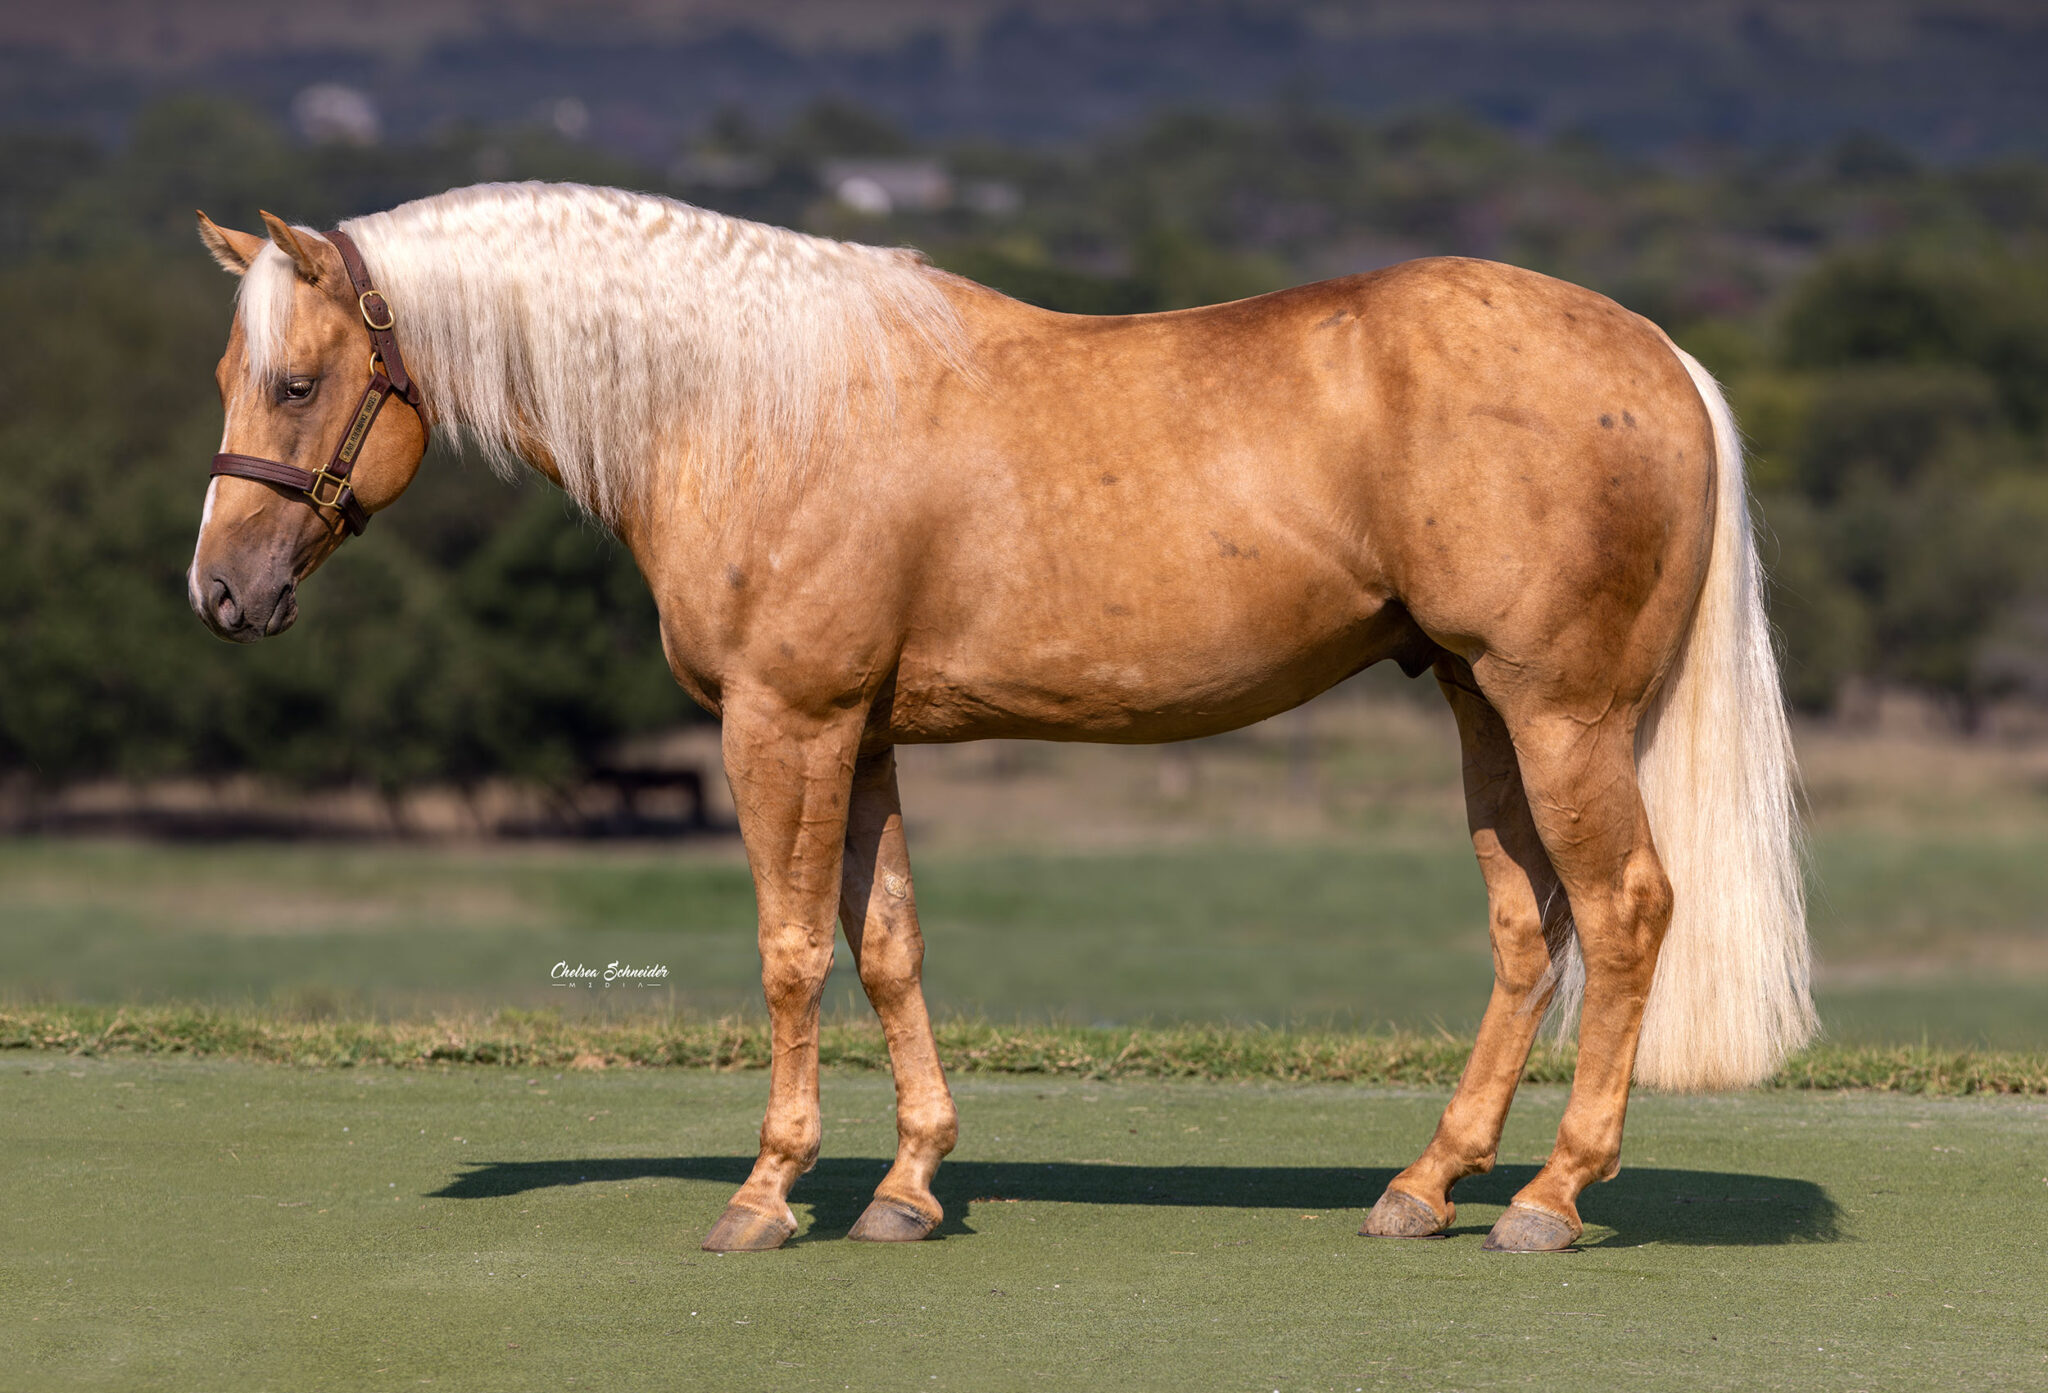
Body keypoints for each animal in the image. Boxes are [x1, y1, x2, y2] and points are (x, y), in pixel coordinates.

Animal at [188, 182, 1813, 1254]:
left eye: (298, 379)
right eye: (229, 373)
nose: (220, 590)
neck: (751, 404)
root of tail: (1662, 356)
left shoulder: (784, 725)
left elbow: (791, 952)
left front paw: (767, 1193)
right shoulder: (866, 735)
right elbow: (887, 942)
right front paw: (908, 1186)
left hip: (1559, 714)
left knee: (1625, 910)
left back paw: (1548, 1197)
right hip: (1484, 709)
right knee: (1529, 926)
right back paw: (1427, 1186)